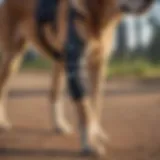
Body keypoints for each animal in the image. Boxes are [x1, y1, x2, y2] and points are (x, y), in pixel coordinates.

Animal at [0, 0, 154, 156]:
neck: (99, 18)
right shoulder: (75, 66)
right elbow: (85, 108)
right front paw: (90, 144)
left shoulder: (98, 66)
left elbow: (95, 104)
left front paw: (97, 133)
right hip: (12, 58)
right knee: (3, 89)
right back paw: (3, 122)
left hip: (59, 64)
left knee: (53, 94)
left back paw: (59, 125)